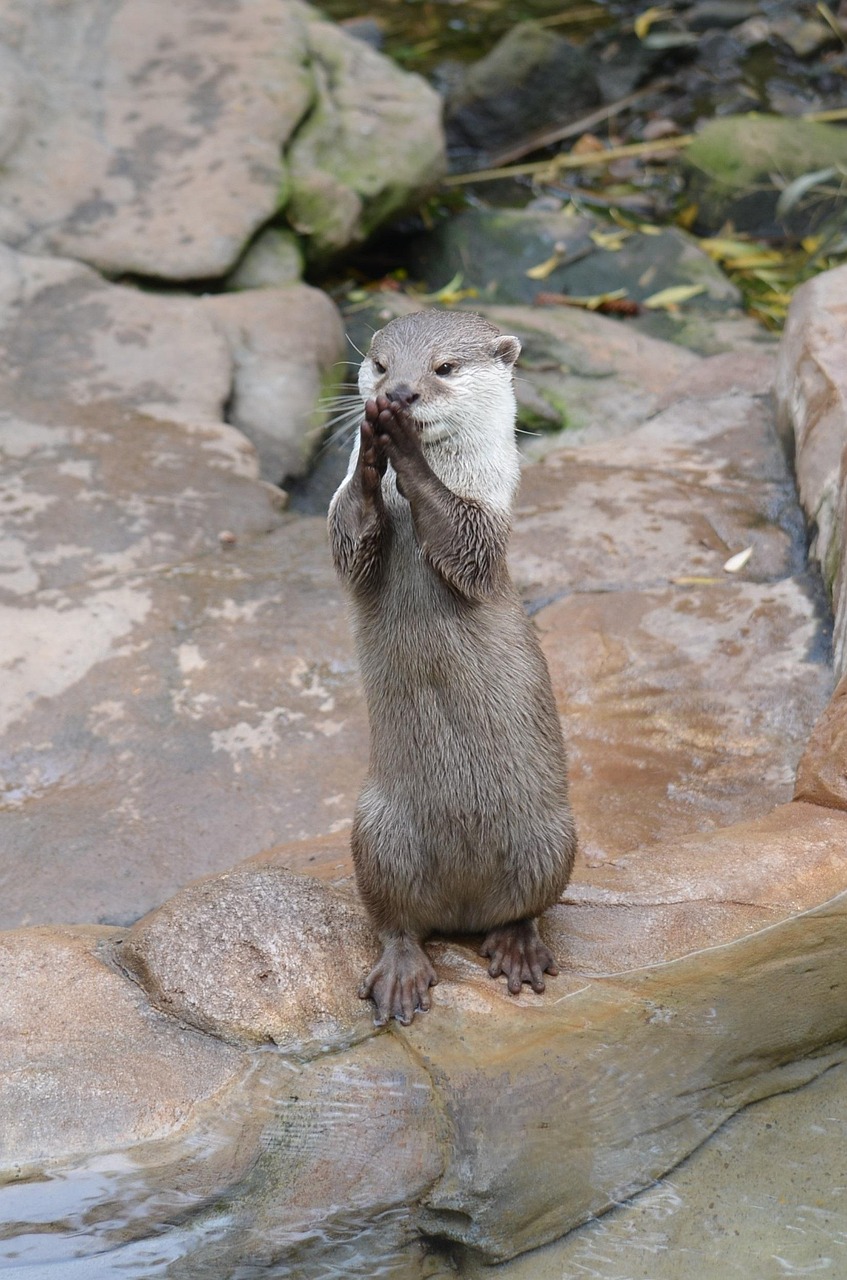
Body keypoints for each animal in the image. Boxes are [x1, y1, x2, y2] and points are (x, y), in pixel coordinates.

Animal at [328, 310, 576, 1026]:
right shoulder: (348, 541)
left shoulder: (487, 518)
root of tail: (463, 910)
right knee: (394, 919)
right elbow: (348, 537)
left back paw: (517, 949)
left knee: (526, 907)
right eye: (382, 364)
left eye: (444, 368)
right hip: (376, 833)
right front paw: (372, 447)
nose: (399, 393)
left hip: (552, 838)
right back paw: (402, 973)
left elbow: (466, 543)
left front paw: (402, 448)